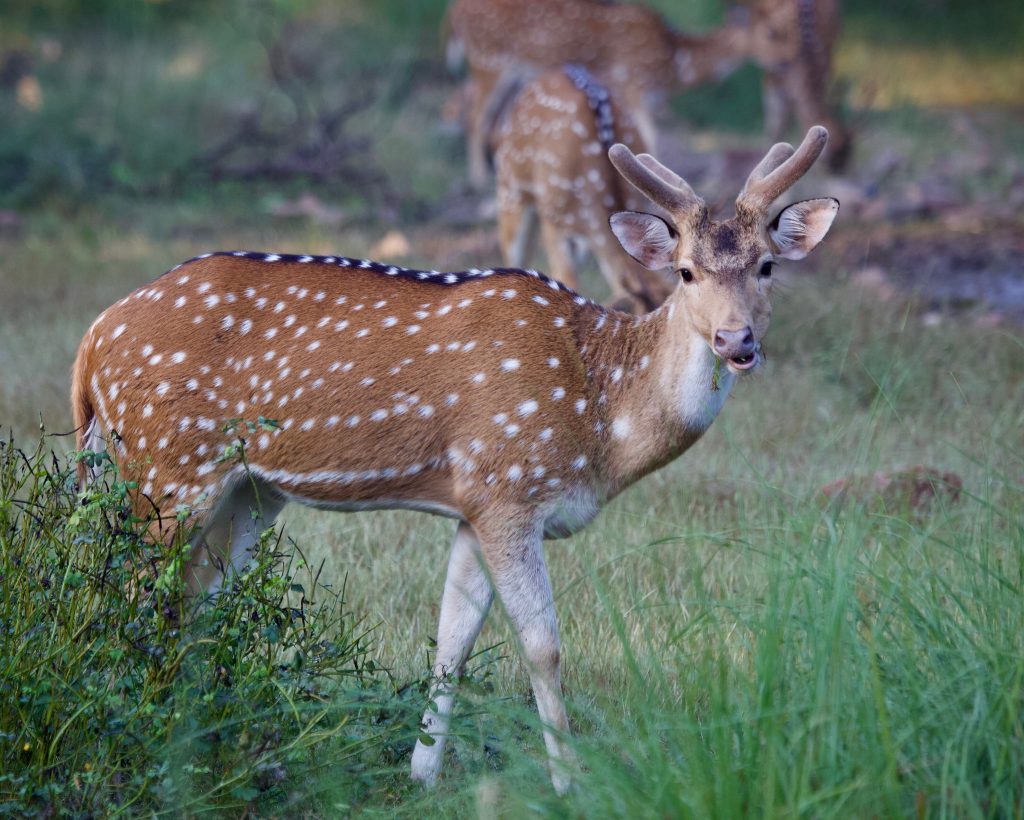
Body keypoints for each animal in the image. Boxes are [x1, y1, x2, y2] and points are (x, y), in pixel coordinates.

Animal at [72, 126, 838, 794]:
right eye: (684, 271)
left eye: (766, 265)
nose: (736, 340)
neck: (600, 414)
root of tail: (93, 338)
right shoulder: (509, 488)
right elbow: (543, 646)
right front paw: (569, 781)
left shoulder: (473, 506)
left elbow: (452, 641)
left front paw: (422, 773)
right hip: (169, 462)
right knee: (132, 596)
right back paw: (126, 744)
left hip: (249, 490)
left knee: (193, 601)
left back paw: (192, 738)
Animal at [446, 0, 752, 189]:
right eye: (765, 31)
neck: (673, 63)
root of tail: (454, 14)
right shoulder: (631, 83)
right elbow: (648, 136)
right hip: (488, 62)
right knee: (476, 116)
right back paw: (478, 179)